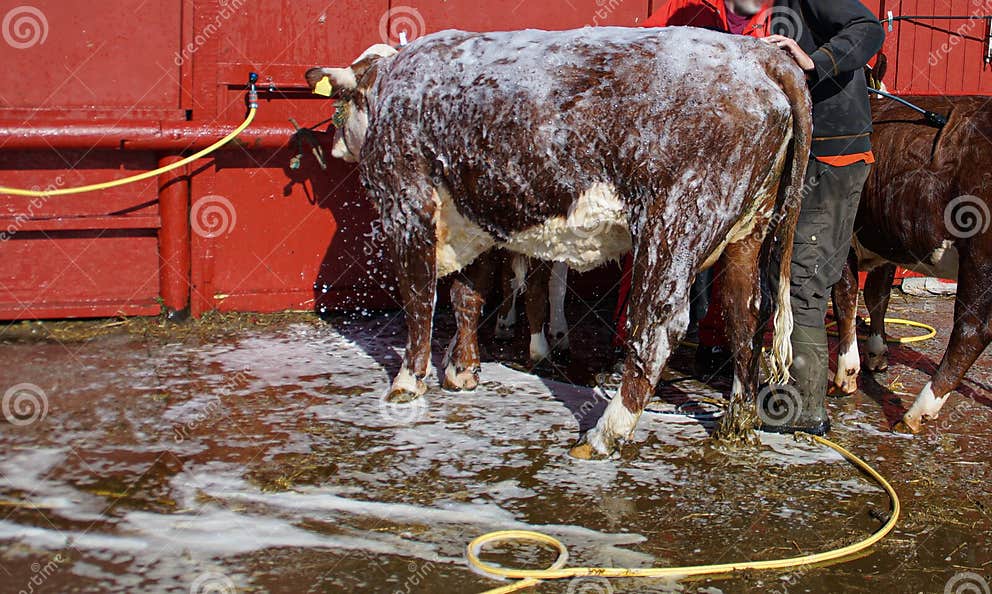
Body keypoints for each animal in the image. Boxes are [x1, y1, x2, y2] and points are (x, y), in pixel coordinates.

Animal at [306, 26, 812, 458]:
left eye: (340, 107)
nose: (333, 146)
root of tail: (757, 56)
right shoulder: (476, 214)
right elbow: (468, 296)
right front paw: (462, 370)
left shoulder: (406, 206)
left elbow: (418, 299)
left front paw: (408, 383)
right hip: (748, 229)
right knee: (743, 317)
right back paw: (736, 424)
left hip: (676, 220)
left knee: (659, 325)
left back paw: (605, 434)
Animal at [831, 90, 992, 434]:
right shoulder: (886, 240)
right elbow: (877, 295)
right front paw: (877, 354)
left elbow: (845, 296)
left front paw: (846, 373)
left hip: (979, 257)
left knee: (971, 331)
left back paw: (917, 411)